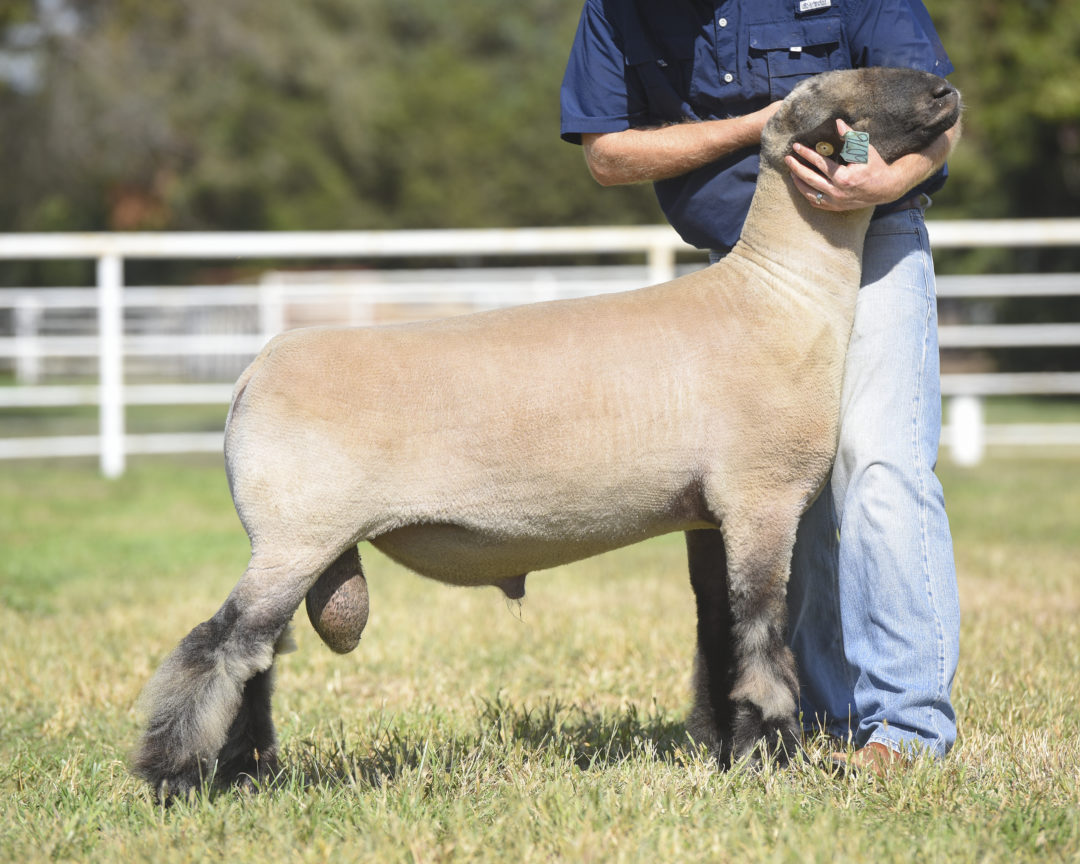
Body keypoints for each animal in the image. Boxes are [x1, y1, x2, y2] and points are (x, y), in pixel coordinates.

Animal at [134, 67, 961, 798]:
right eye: (837, 90)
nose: (945, 91)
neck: (779, 295)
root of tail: (252, 371)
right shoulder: (761, 498)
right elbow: (761, 636)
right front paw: (774, 758)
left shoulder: (707, 514)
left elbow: (720, 634)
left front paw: (730, 752)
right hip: (294, 534)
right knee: (219, 648)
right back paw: (175, 778)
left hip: (298, 542)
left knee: (254, 658)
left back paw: (246, 773)